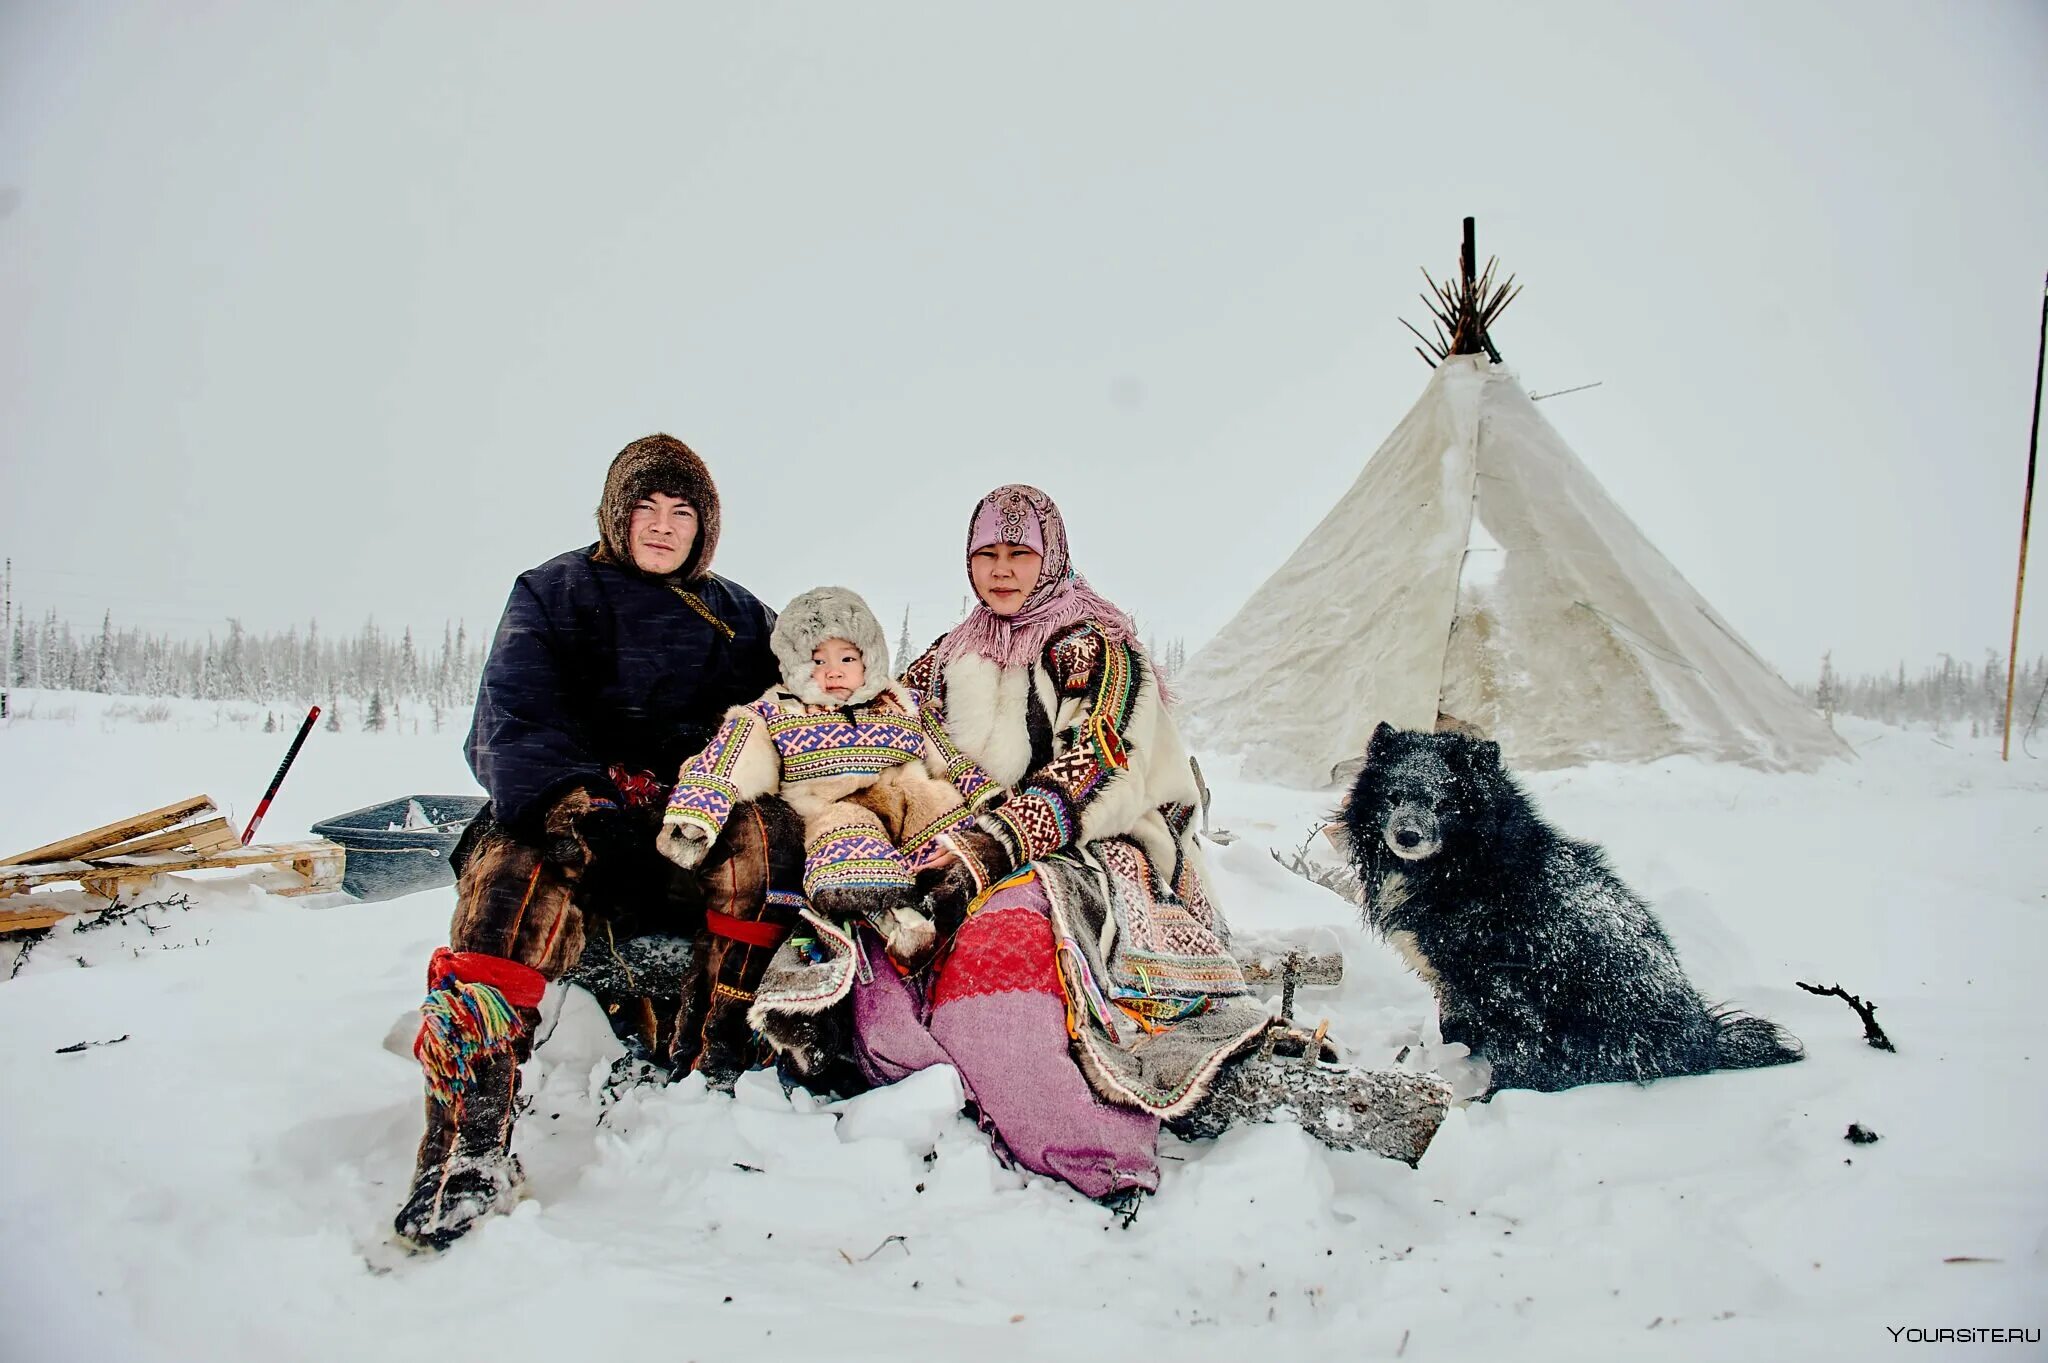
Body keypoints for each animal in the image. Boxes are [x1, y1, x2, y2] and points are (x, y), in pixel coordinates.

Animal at [1351, 720, 1802, 1096]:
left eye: (1444, 802)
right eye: (1393, 796)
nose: (1407, 836)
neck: (1469, 868)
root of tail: (1706, 1040)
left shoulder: (1507, 989)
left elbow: (1516, 1056)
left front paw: (1489, 1099)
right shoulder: (1452, 982)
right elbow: (1455, 1031)